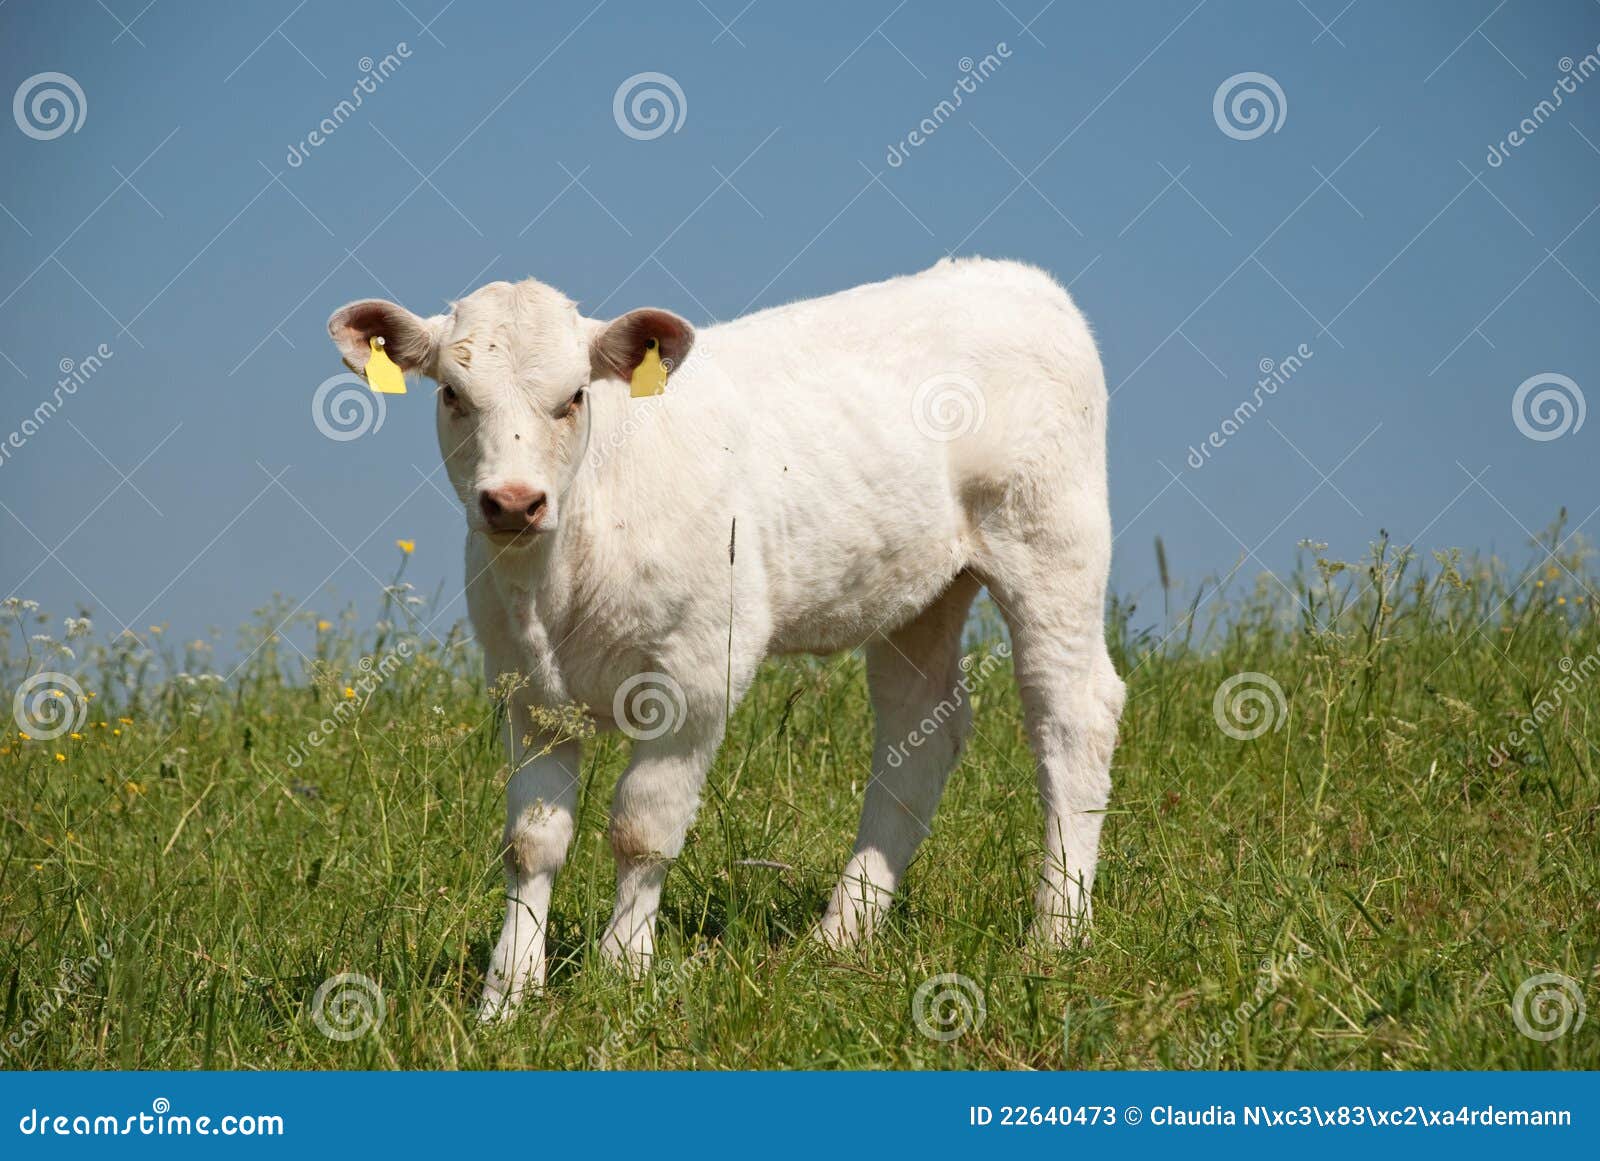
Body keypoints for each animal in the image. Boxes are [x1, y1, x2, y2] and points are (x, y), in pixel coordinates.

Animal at [327, 257, 1124, 1018]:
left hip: (1051, 540)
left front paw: (622, 975)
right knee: (919, 730)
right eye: (452, 394)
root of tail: (1014, 276)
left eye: (574, 396)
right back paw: (841, 934)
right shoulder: (525, 689)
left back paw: (1056, 932)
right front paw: (507, 995)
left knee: (1074, 715)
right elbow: (531, 843)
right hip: (919, 592)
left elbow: (642, 826)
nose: (515, 502)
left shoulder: (699, 674)